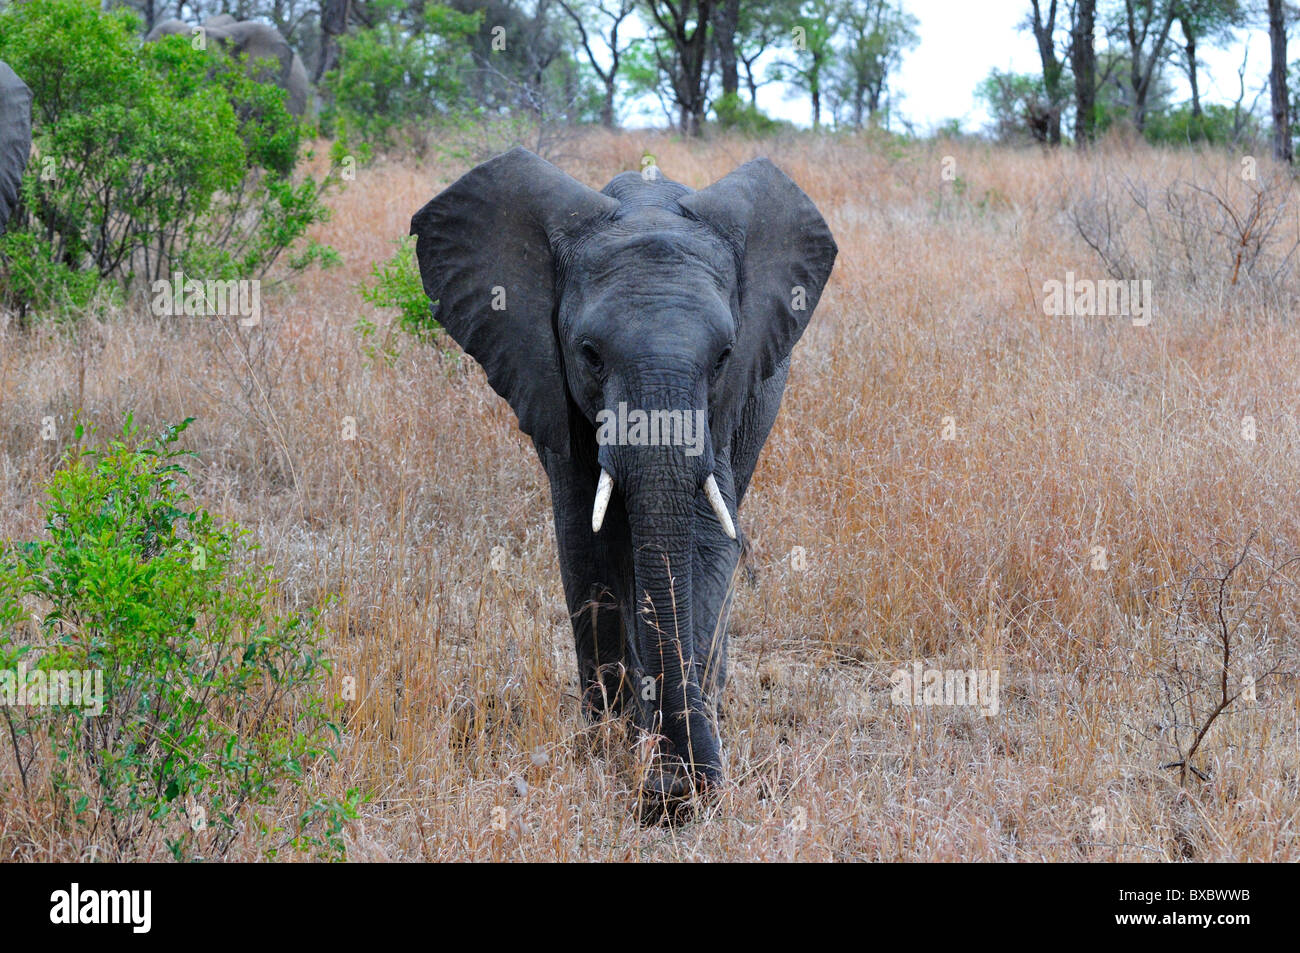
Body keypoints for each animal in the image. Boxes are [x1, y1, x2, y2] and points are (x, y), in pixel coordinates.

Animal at [410, 148, 837, 819]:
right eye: (589, 353)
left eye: (724, 357)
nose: (674, 790)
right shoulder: (552, 385)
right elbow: (587, 540)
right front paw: (612, 741)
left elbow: (705, 538)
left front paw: (672, 766)